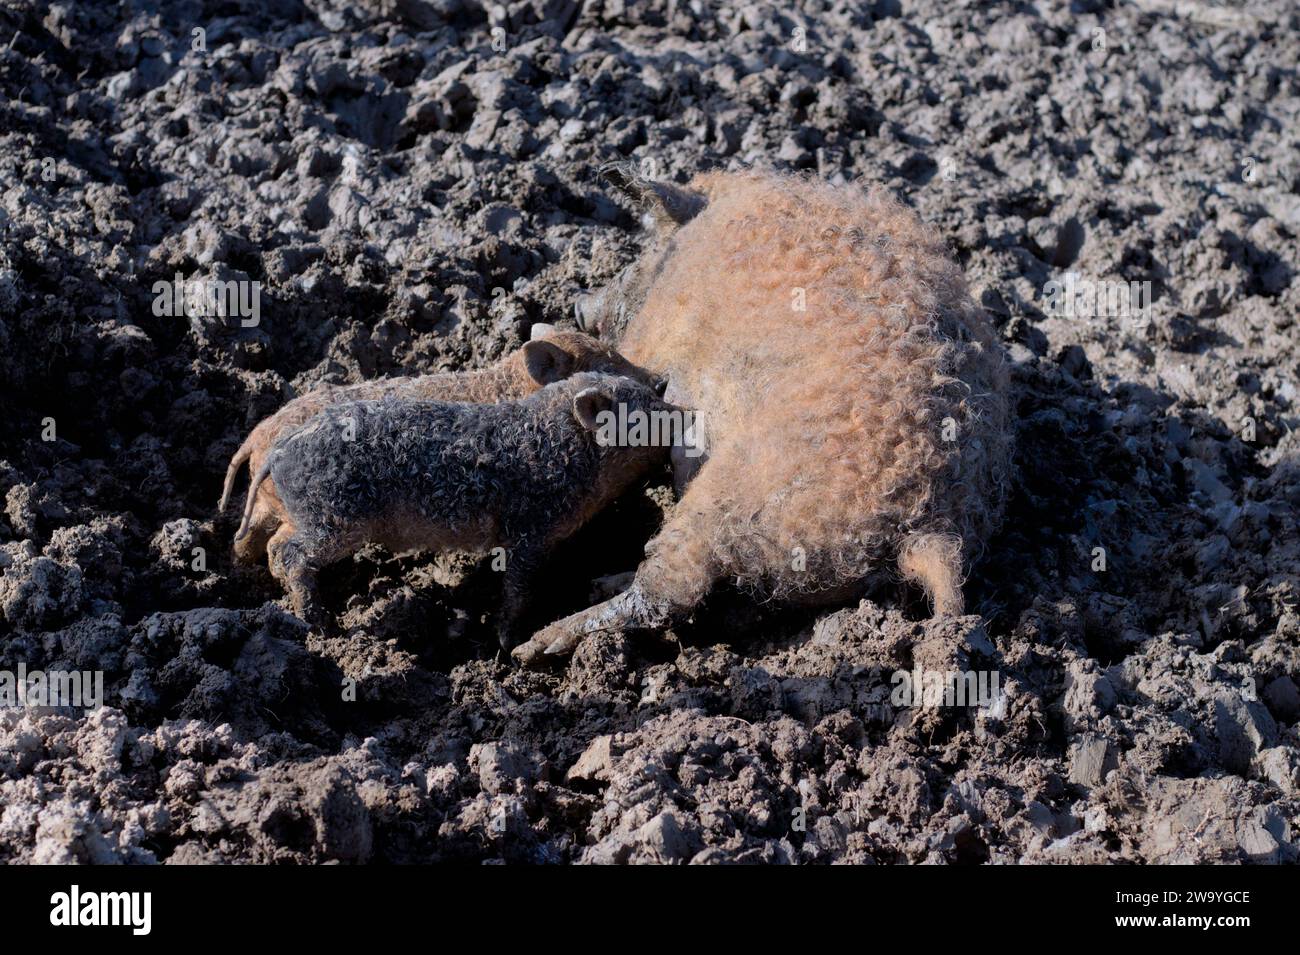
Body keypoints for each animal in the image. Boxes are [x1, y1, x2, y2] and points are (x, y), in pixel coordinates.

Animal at [219, 324, 659, 566]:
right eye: (604, 361)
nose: (660, 379)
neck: (507, 385)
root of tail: (255, 440)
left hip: (268, 510)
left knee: (245, 543)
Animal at [233, 372, 681, 647]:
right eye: (640, 409)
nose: (679, 408)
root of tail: (277, 453)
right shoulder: (530, 529)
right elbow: (519, 587)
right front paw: (508, 642)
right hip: (333, 520)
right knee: (289, 552)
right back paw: (320, 625)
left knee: (274, 544)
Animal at [513, 167, 1013, 664]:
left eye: (648, 247)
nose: (579, 305)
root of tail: (931, 526)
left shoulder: (651, 341)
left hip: (730, 497)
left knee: (666, 594)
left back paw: (539, 642)